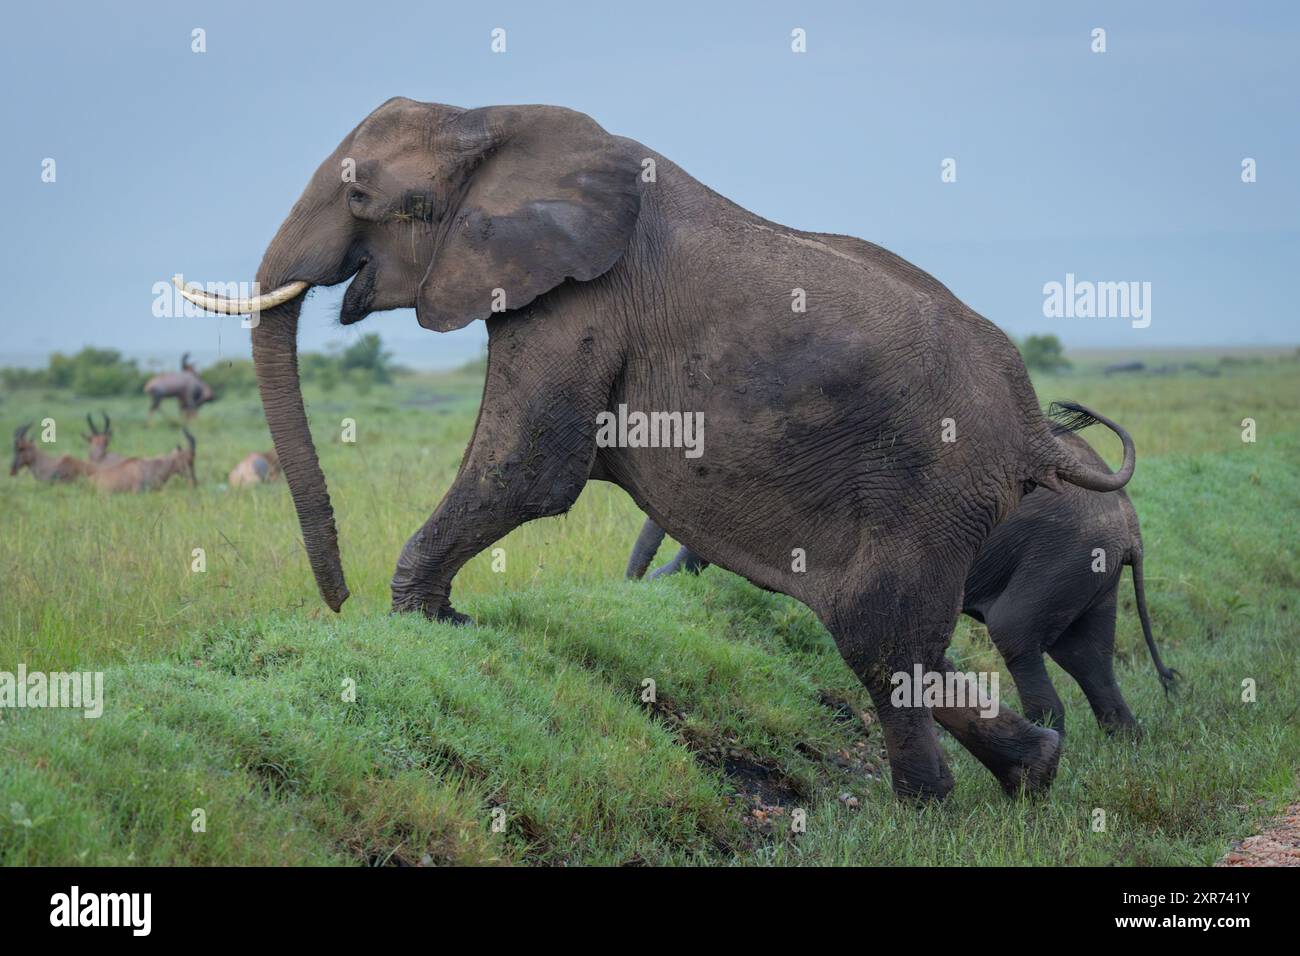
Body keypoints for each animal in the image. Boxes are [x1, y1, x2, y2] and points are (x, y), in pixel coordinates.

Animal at [628, 425, 1178, 736]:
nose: (630, 585)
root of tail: (1133, 531)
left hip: (1057, 559)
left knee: (1018, 634)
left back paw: (1052, 736)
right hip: (1087, 570)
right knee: (1086, 656)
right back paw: (1121, 742)